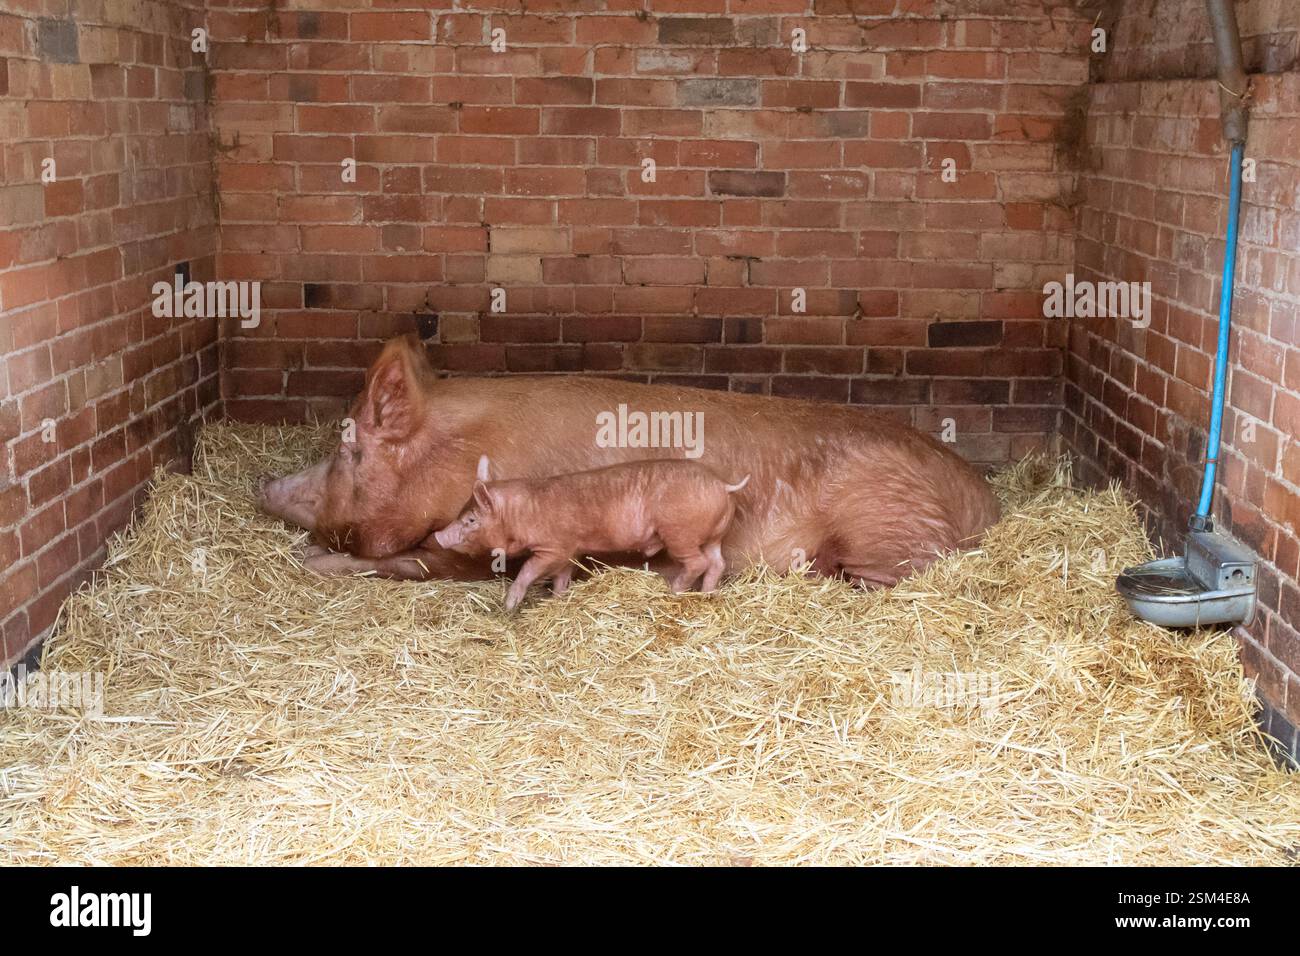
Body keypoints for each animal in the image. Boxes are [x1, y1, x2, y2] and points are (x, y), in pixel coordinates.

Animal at [259, 334, 1000, 589]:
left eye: (346, 448)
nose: (264, 482)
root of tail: (986, 499)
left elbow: (407, 561)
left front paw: (314, 561)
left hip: (885, 522)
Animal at [434, 455, 750, 610]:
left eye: (471, 519)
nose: (438, 535)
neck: (520, 514)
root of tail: (723, 485)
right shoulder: (569, 552)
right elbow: (561, 578)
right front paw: (558, 599)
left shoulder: (554, 547)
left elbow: (528, 569)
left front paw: (510, 605)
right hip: (713, 535)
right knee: (717, 562)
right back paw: (707, 594)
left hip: (680, 531)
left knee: (698, 562)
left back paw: (673, 590)